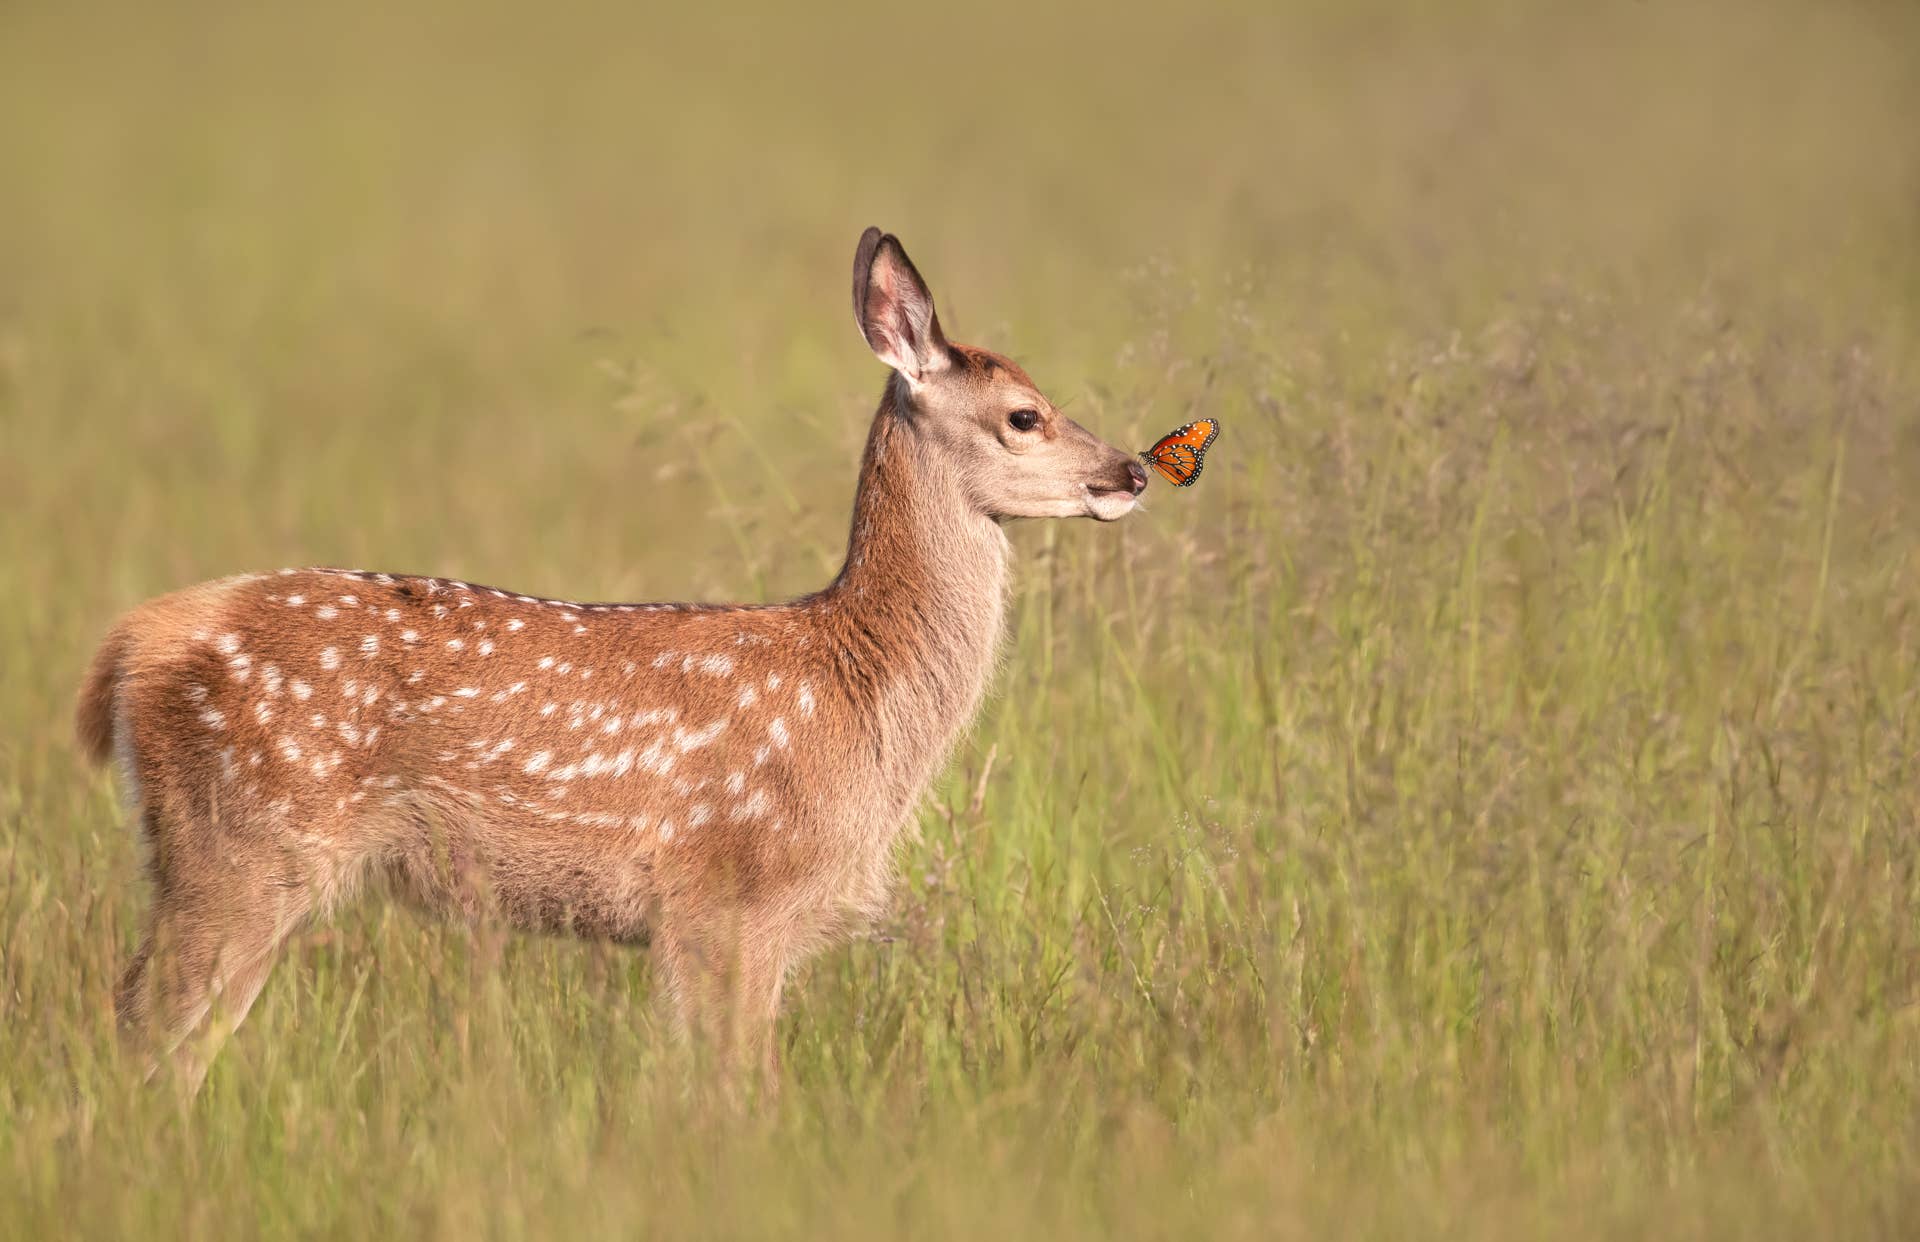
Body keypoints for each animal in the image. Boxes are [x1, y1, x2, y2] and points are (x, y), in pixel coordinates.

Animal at [75, 228, 1150, 1095]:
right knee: (149, 1029)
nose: (1134, 469)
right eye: (1025, 414)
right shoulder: (731, 892)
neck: (858, 685)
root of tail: (135, 643)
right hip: (244, 842)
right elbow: (738, 1088)